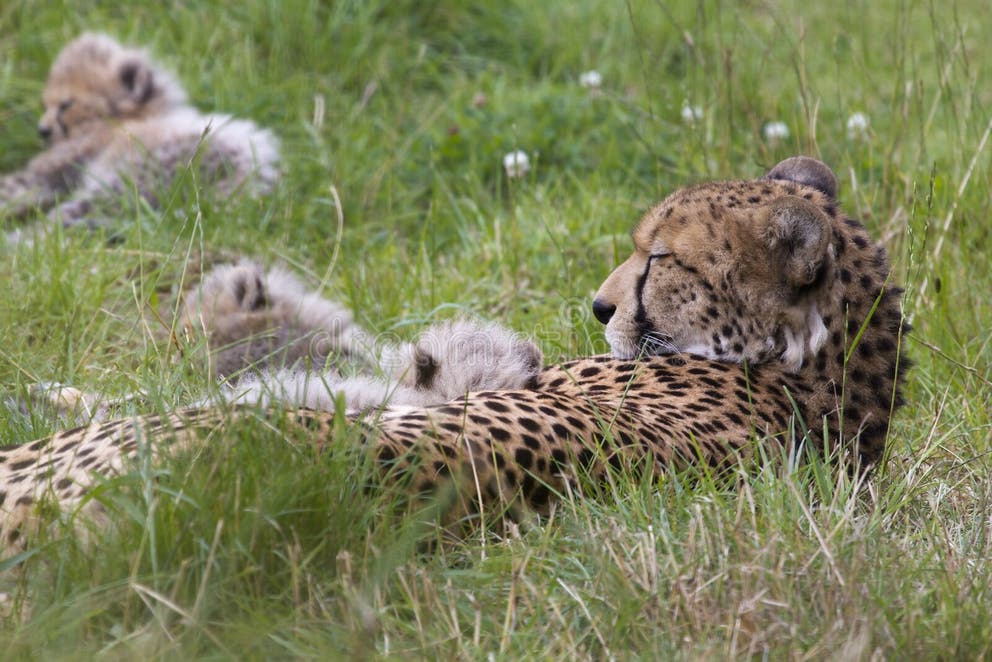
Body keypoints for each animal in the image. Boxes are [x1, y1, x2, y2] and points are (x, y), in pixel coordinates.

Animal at [0, 32, 280, 243]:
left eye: (66, 104)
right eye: (45, 104)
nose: (43, 130)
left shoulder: (55, 169)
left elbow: (13, 186)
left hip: (124, 184)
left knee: (62, 221)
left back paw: (18, 244)